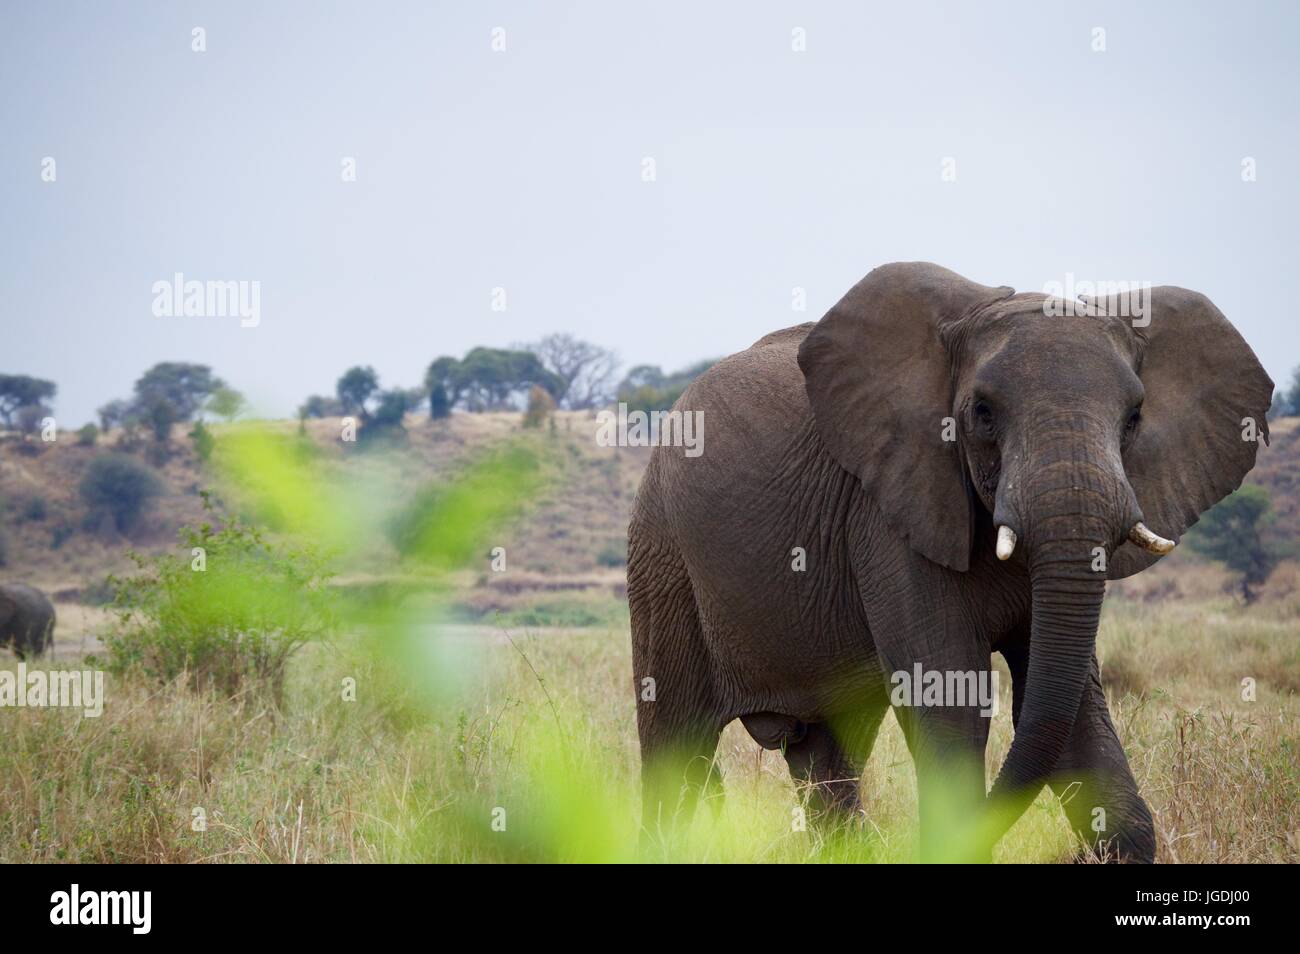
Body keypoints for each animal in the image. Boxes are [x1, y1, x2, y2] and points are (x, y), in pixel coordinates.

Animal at [627, 262, 1272, 862]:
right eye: (982, 413)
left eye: (1135, 417)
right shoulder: (889, 510)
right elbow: (951, 699)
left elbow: (1070, 704)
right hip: (662, 555)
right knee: (676, 744)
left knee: (828, 752)